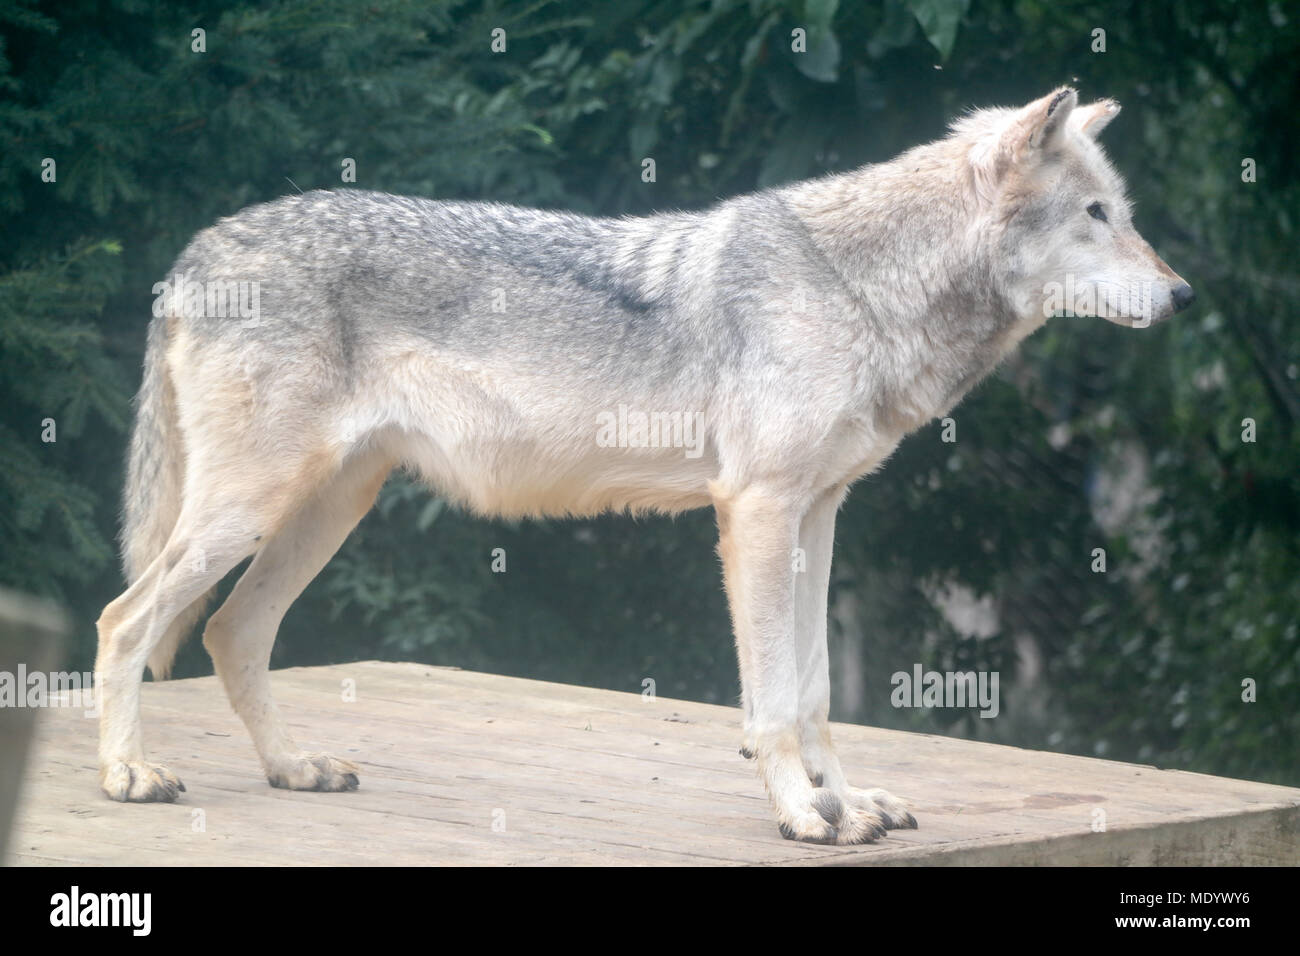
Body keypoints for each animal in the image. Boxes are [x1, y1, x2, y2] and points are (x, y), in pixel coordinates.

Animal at [95, 88, 1192, 845]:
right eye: (1095, 215)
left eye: (1124, 211)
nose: (1184, 295)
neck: (860, 287)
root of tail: (194, 251)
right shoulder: (755, 512)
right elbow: (772, 702)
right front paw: (803, 813)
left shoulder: (819, 514)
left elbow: (815, 693)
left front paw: (848, 802)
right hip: (250, 511)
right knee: (125, 620)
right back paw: (128, 778)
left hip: (324, 510)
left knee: (232, 632)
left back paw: (293, 769)